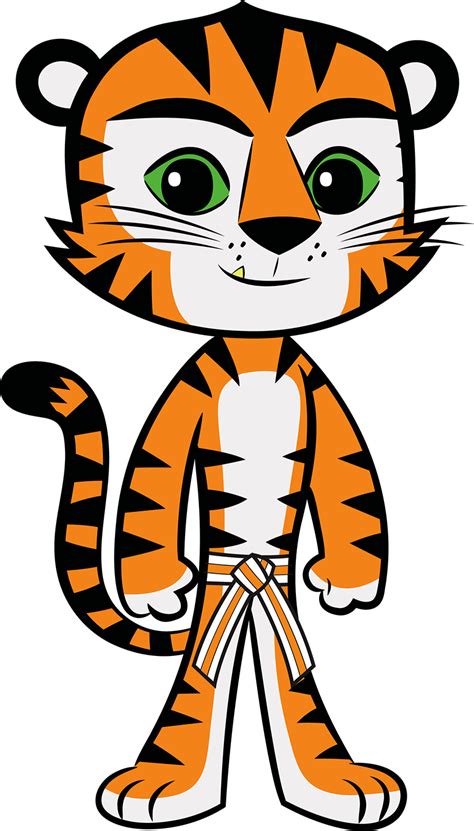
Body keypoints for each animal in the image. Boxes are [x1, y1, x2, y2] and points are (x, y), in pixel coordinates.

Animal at [1, 1, 460, 828]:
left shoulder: (320, 396)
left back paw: (330, 781)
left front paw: (347, 582)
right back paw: (164, 781)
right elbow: (148, 495)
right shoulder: (185, 399)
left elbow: (352, 487)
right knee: (198, 684)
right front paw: (156, 588)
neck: (255, 349)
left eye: (340, 178)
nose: (282, 229)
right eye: (185, 180)